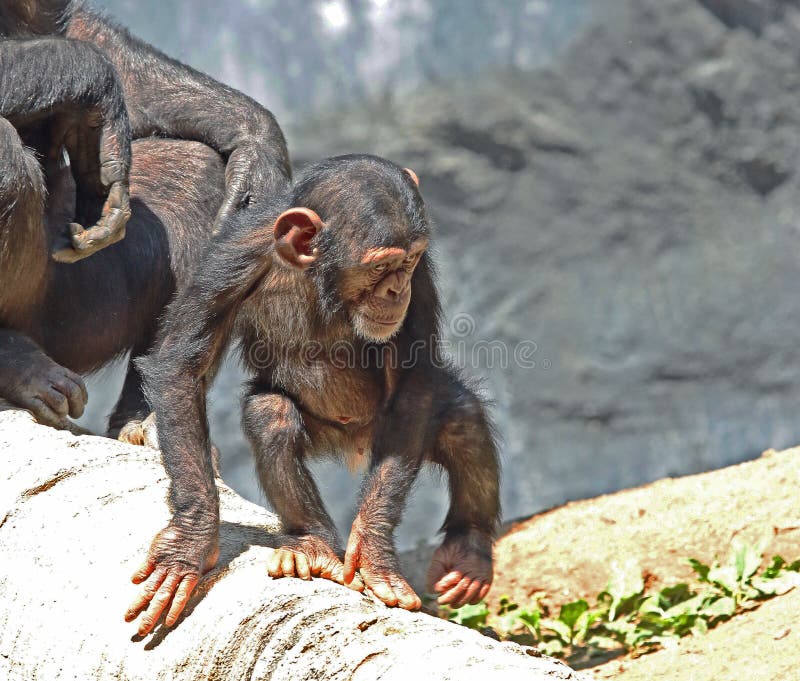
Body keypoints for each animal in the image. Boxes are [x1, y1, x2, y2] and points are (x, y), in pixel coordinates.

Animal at [0, 0, 290, 436]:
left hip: (74, 315)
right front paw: (96, 77)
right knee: (5, 150)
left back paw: (150, 412)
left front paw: (253, 136)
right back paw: (16, 364)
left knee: (195, 169)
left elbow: (56, 19)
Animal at [125, 155, 500, 637]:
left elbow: (414, 384)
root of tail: (354, 446)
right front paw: (189, 543)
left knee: (460, 418)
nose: (396, 290)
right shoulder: (229, 259)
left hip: (385, 432)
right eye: (380, 267)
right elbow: (180, 367)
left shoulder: (423, 282)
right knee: (270, 414)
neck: (320, 276)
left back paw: (468, 553)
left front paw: (374, 551)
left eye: (411, 260)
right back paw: (311, 544)